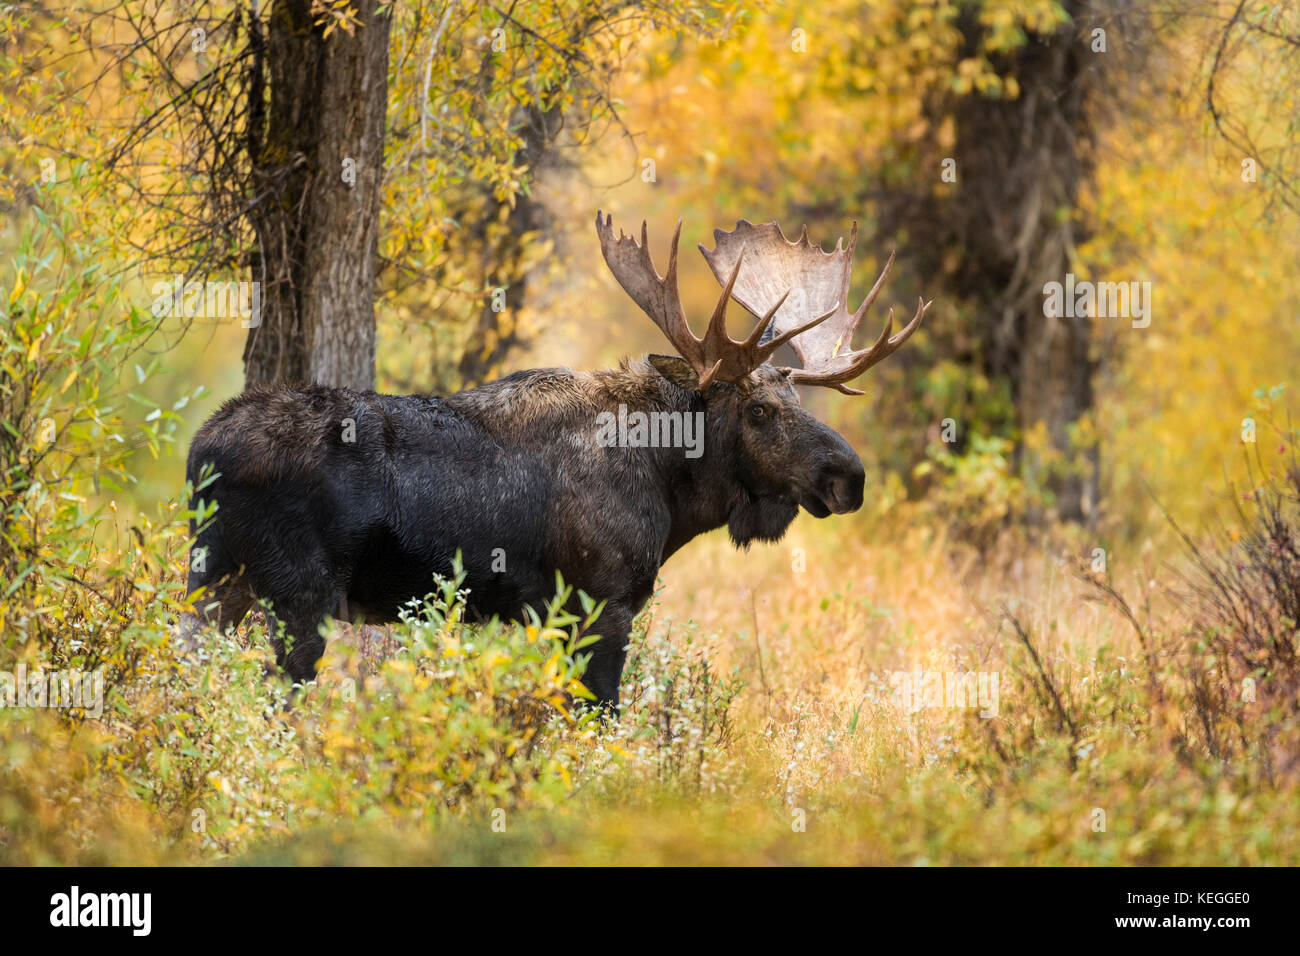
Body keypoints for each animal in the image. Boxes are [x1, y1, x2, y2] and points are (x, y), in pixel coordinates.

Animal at [180, 212, 929, 709]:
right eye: (760, 411)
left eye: (794, 398)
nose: (849, 477)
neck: (669, 485)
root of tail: (200, 453)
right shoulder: (601, 603)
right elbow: (599, 717)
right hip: (296, 596)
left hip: (214, 577)